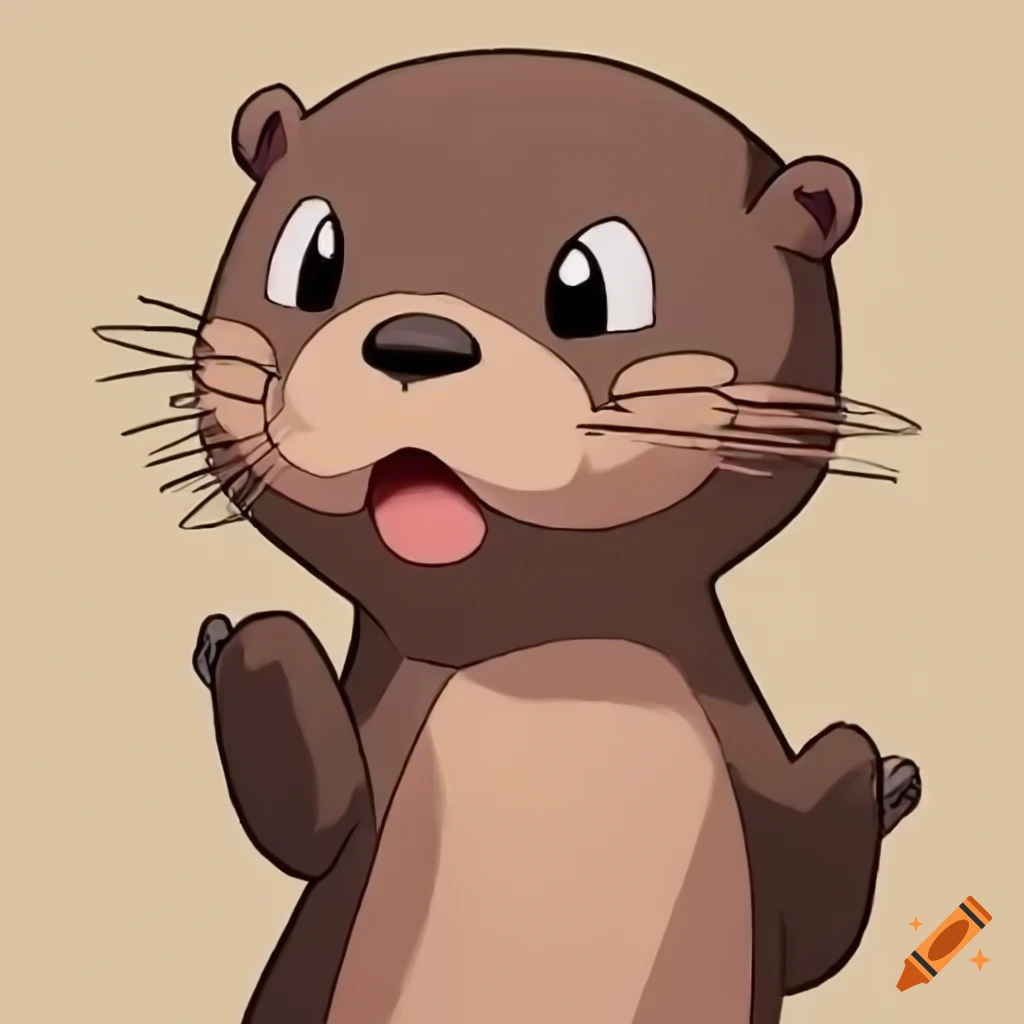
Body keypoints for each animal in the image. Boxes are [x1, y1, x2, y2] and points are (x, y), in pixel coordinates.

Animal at [121, 49, 924, 1024]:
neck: (544, 656)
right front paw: (252, 641)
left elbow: (817, 928)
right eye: (311, 262)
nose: (415, 342)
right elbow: (306, 826)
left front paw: (868, 772)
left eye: (592, 288)